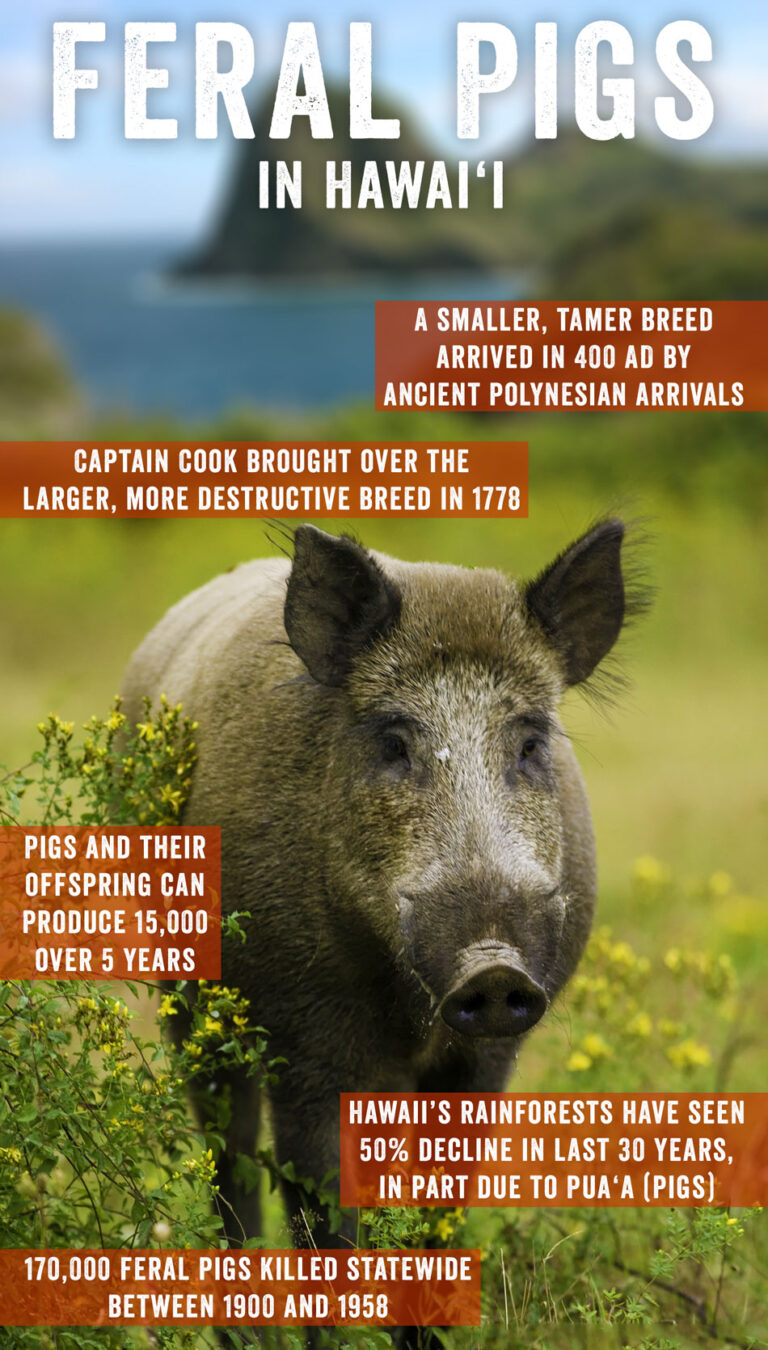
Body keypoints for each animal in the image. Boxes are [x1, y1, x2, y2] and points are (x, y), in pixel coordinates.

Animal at [121, 520, 635, 1245]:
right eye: (394, 743)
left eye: (531, 745)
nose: (494, 968)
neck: (411, 1010)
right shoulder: (304, 1034)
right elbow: (320, 1203)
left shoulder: (486, 1057)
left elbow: (437, 1208)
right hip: (186, 989)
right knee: (230, 1150)